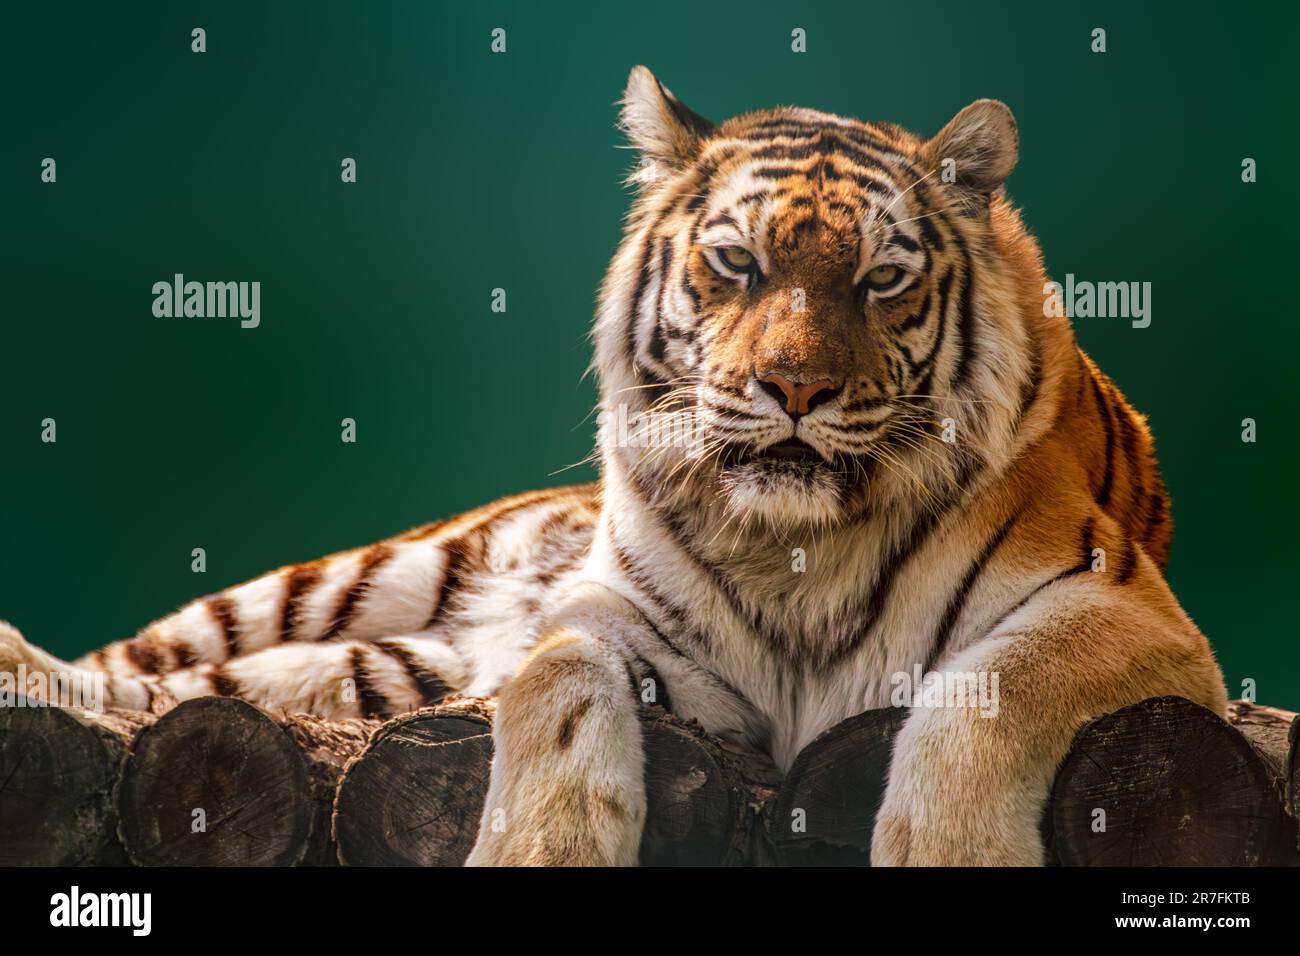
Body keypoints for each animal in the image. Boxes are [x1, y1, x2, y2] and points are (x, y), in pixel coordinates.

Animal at [1, 65, 1226, 866]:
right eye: (736, 263)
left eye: (881, 278)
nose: (794, 390)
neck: (796, 551)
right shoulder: (611, 617)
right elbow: (556, 684)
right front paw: (542, 845)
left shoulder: (1121, 609)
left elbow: (986, 699)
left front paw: (948, 852)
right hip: (355, 583)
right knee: (144, 665)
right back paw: (25, 663)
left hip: (380, 665)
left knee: (194, 689)